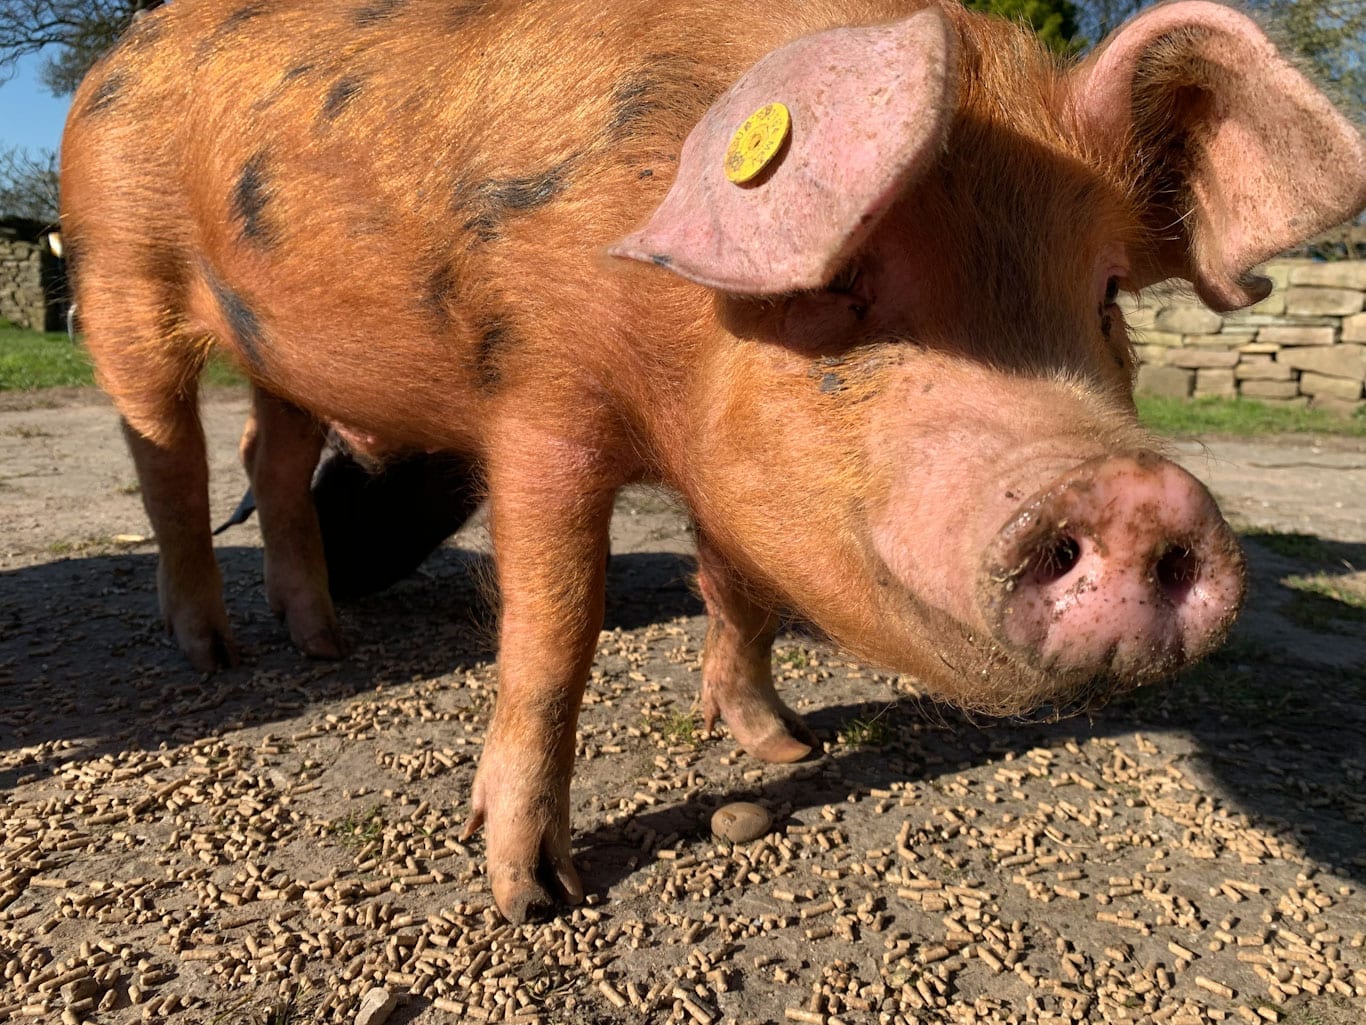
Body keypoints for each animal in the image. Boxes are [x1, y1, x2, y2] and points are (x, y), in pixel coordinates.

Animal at [61, 0, 1364, 922]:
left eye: (1104, 296)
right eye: (845, 279)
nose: (1136, 492)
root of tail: (118, 55)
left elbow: (743, 593)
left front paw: (785, 743)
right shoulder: (540, 397)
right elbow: (556, 627)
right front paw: (533, 893)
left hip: (274, 346)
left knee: (273, 459)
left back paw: (324, 643)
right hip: (118, 267)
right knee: (173, 459)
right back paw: (216, 654)